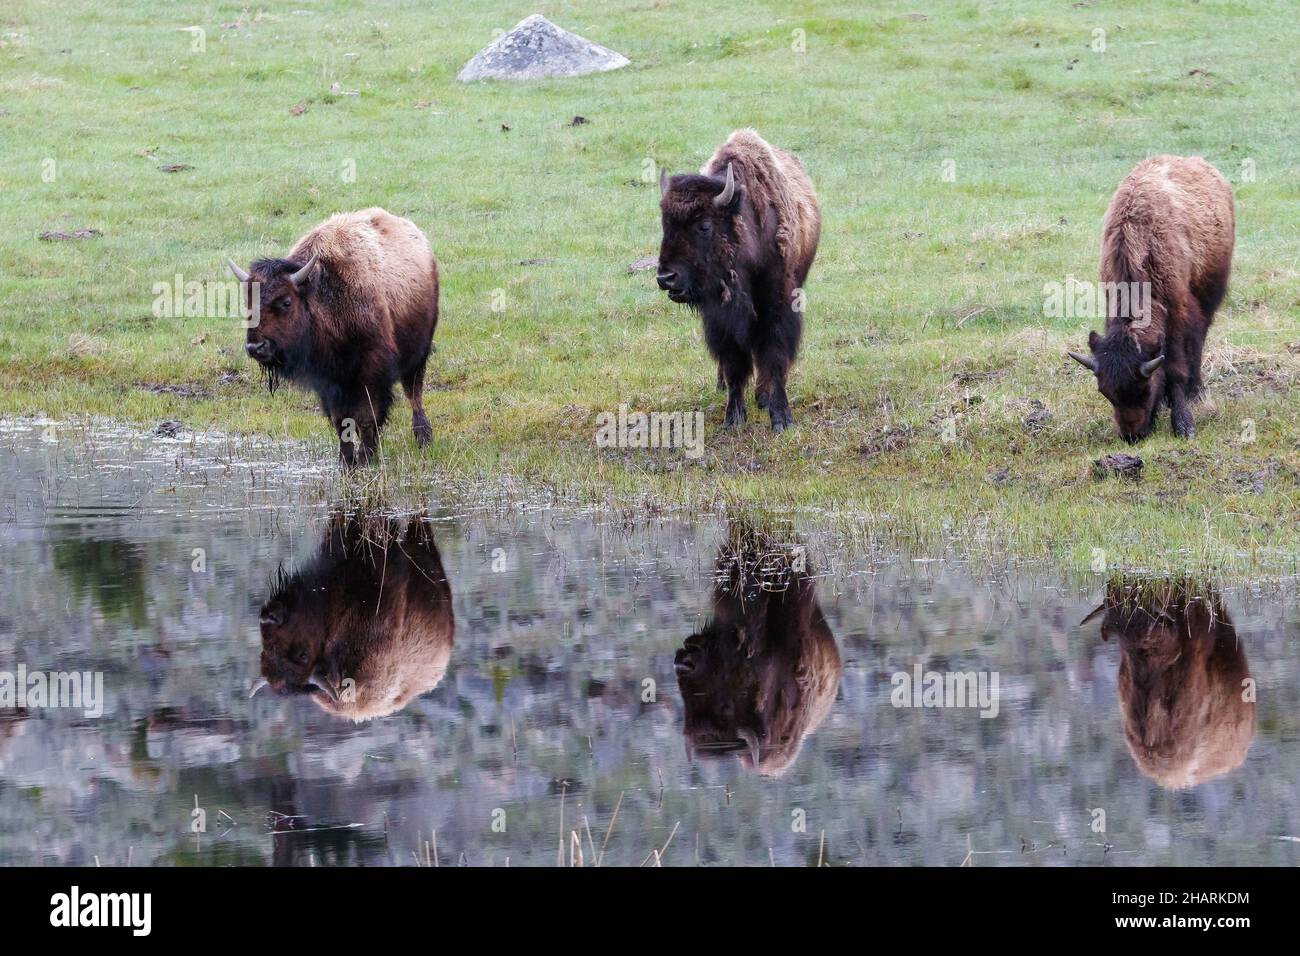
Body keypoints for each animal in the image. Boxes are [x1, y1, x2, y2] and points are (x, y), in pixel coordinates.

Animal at [228, 207, 439, 465]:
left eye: (286, 302)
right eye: (247, 303)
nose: (256, 347)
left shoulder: (371, 370)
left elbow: (367, 415)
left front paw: (365, 458)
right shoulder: (328, 380)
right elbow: (341, 421)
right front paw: (346, 462)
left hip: (419, 351)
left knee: (414, 392)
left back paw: (423, 437)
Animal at [657, 129, 821, 432]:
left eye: (704, 225)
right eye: (665, 226)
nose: (666, 278)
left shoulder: (779, 305)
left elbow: (774, 355)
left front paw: (781, 417)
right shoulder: (721, 318)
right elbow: (734, 362)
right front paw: (733, 418)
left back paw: (763, 396)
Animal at [1069, 156, 1235, 441]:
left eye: (1144, 389)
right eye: (1106, 393)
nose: (1131, 436)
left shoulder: (1177, 313)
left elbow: (1175, 368)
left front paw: (1184, 425)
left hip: (1210, 294)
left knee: (1200, 339)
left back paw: (1196, 390)